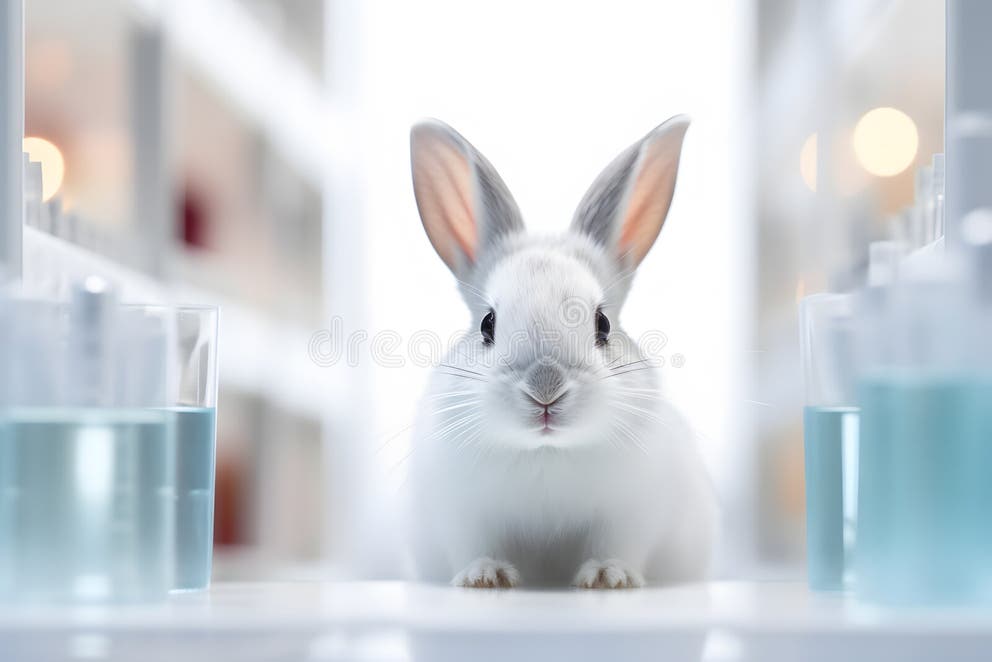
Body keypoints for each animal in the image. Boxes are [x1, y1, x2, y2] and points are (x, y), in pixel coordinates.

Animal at [406, 115, 717, 589]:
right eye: (487, 324)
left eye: (602, 324)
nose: (545, 389)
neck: (545, 453)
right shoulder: (460, 516)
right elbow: (475, 547)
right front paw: (485, 577)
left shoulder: (632, 516)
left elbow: (617, 546)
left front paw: (608, 577)